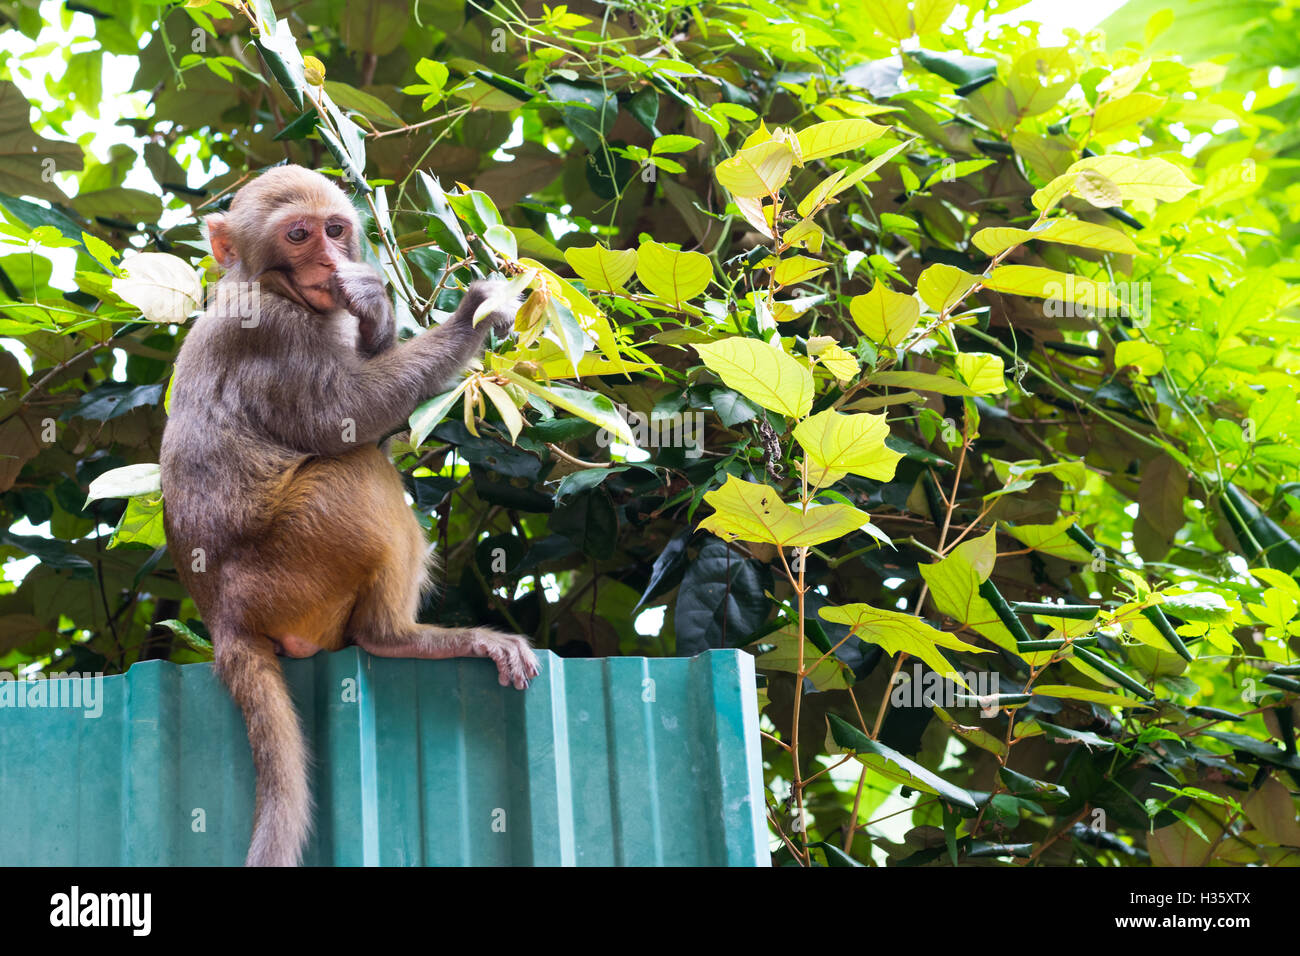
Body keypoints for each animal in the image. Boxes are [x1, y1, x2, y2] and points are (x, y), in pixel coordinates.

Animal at [159, 165, 539, 867]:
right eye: (299, 235)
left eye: (335, 230)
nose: (331, 261)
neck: (263, 284)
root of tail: (223, 621)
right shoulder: (273, 329)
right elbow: (349, 419)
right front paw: (472, 311)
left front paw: (373, 304)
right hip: (292, 568)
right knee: (356, 470)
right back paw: (395, 636)